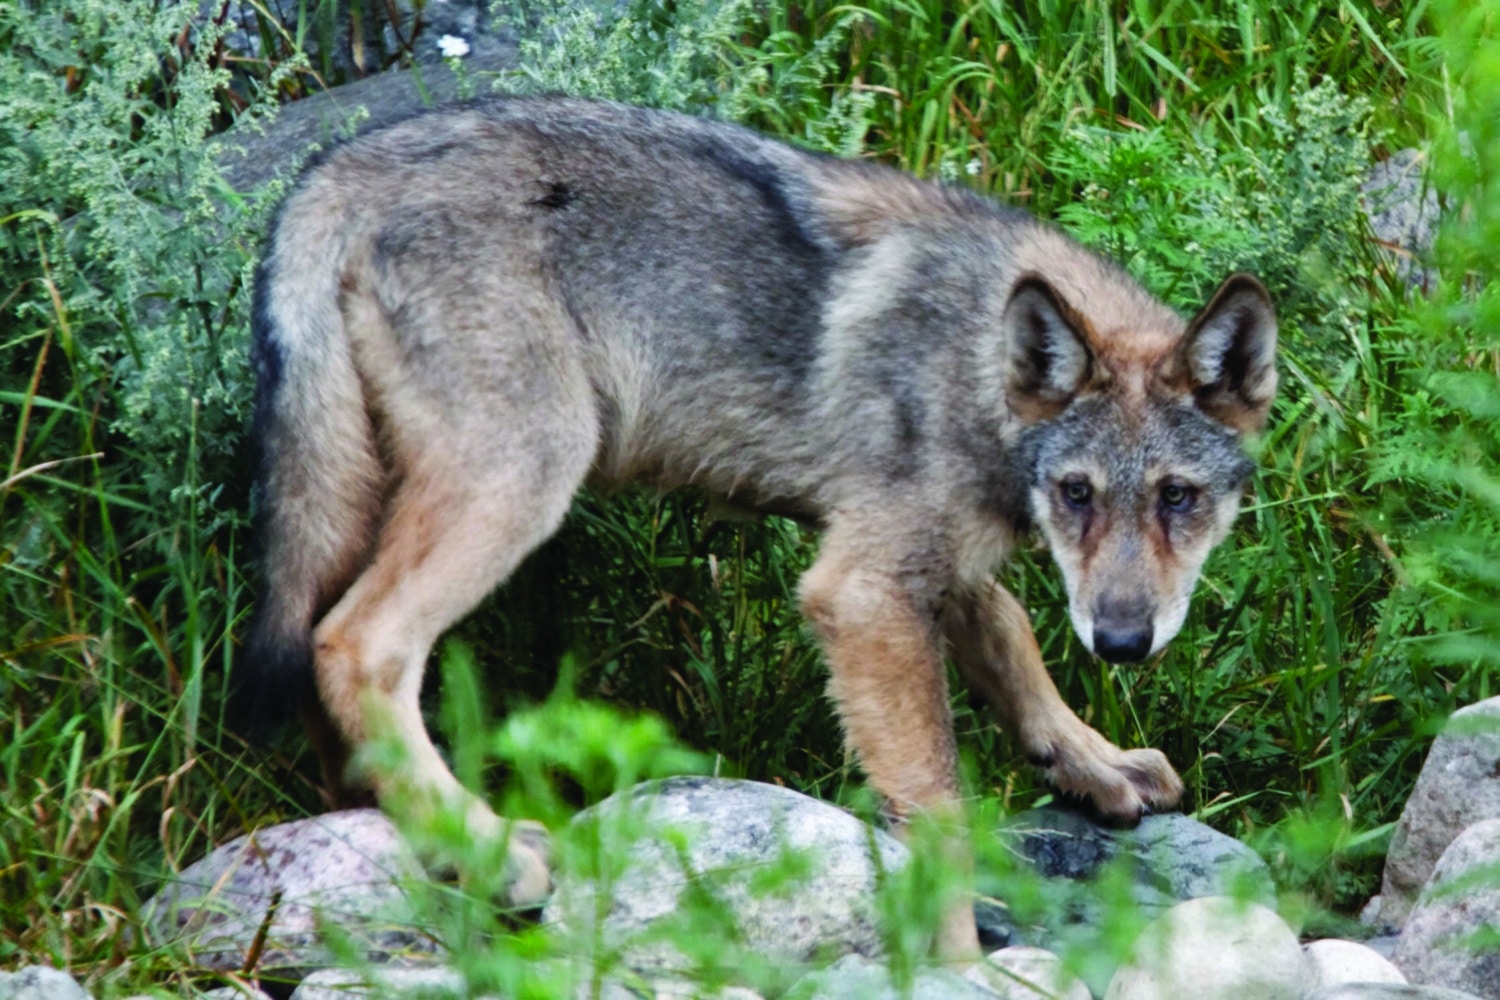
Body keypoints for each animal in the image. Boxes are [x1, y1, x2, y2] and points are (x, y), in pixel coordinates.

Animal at [237, 96, 1276, 957]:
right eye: (1078, 494)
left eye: (1177, 498)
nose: (1123, 643)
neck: (973, 362)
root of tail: (338, 173)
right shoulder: (859, 591)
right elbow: (940, 807)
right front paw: (958, 962)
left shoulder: (924, 564)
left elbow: (1015, 641)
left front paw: (1091, 761)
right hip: (523, 481)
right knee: (354, 644)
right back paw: (485, 848)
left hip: (370, 502)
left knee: (324, 658)